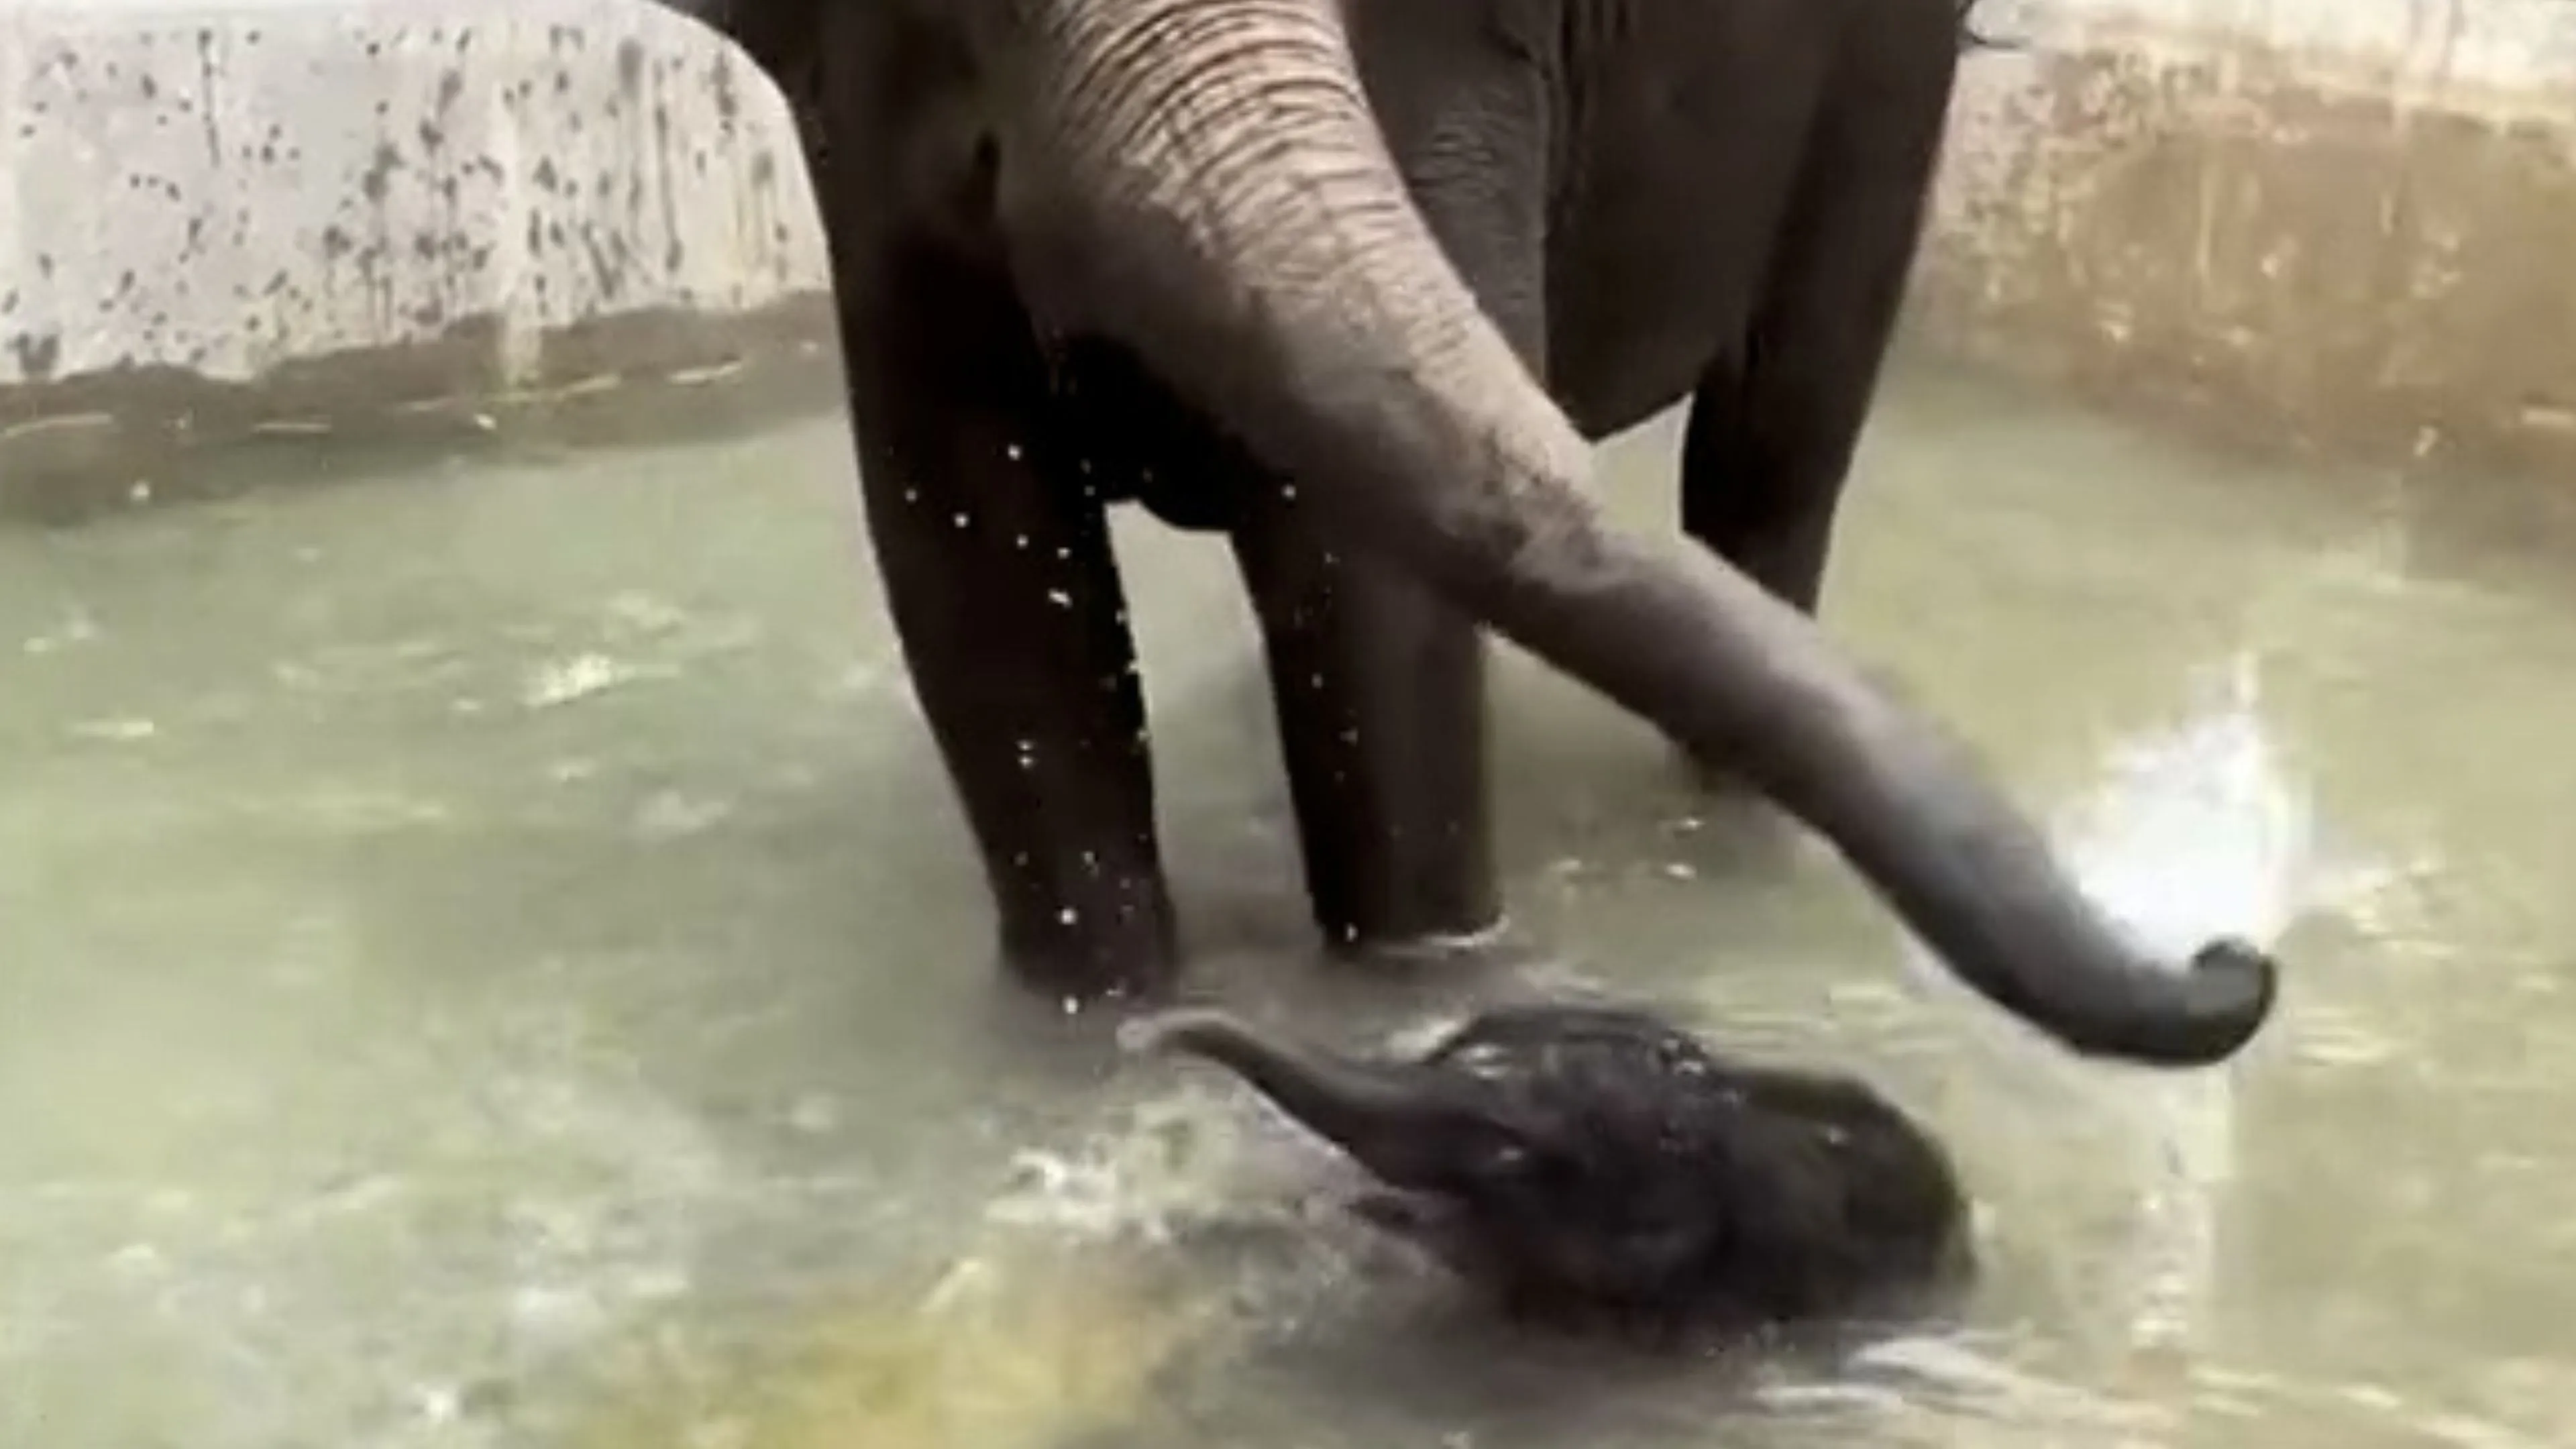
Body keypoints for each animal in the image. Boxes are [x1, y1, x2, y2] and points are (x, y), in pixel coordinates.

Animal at [656, 0, 2278, 1068]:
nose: (2230, 958)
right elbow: (975, 568)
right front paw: (1096, 1036)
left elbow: (1367, 592)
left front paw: (1408, 1001)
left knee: (1778, 448)